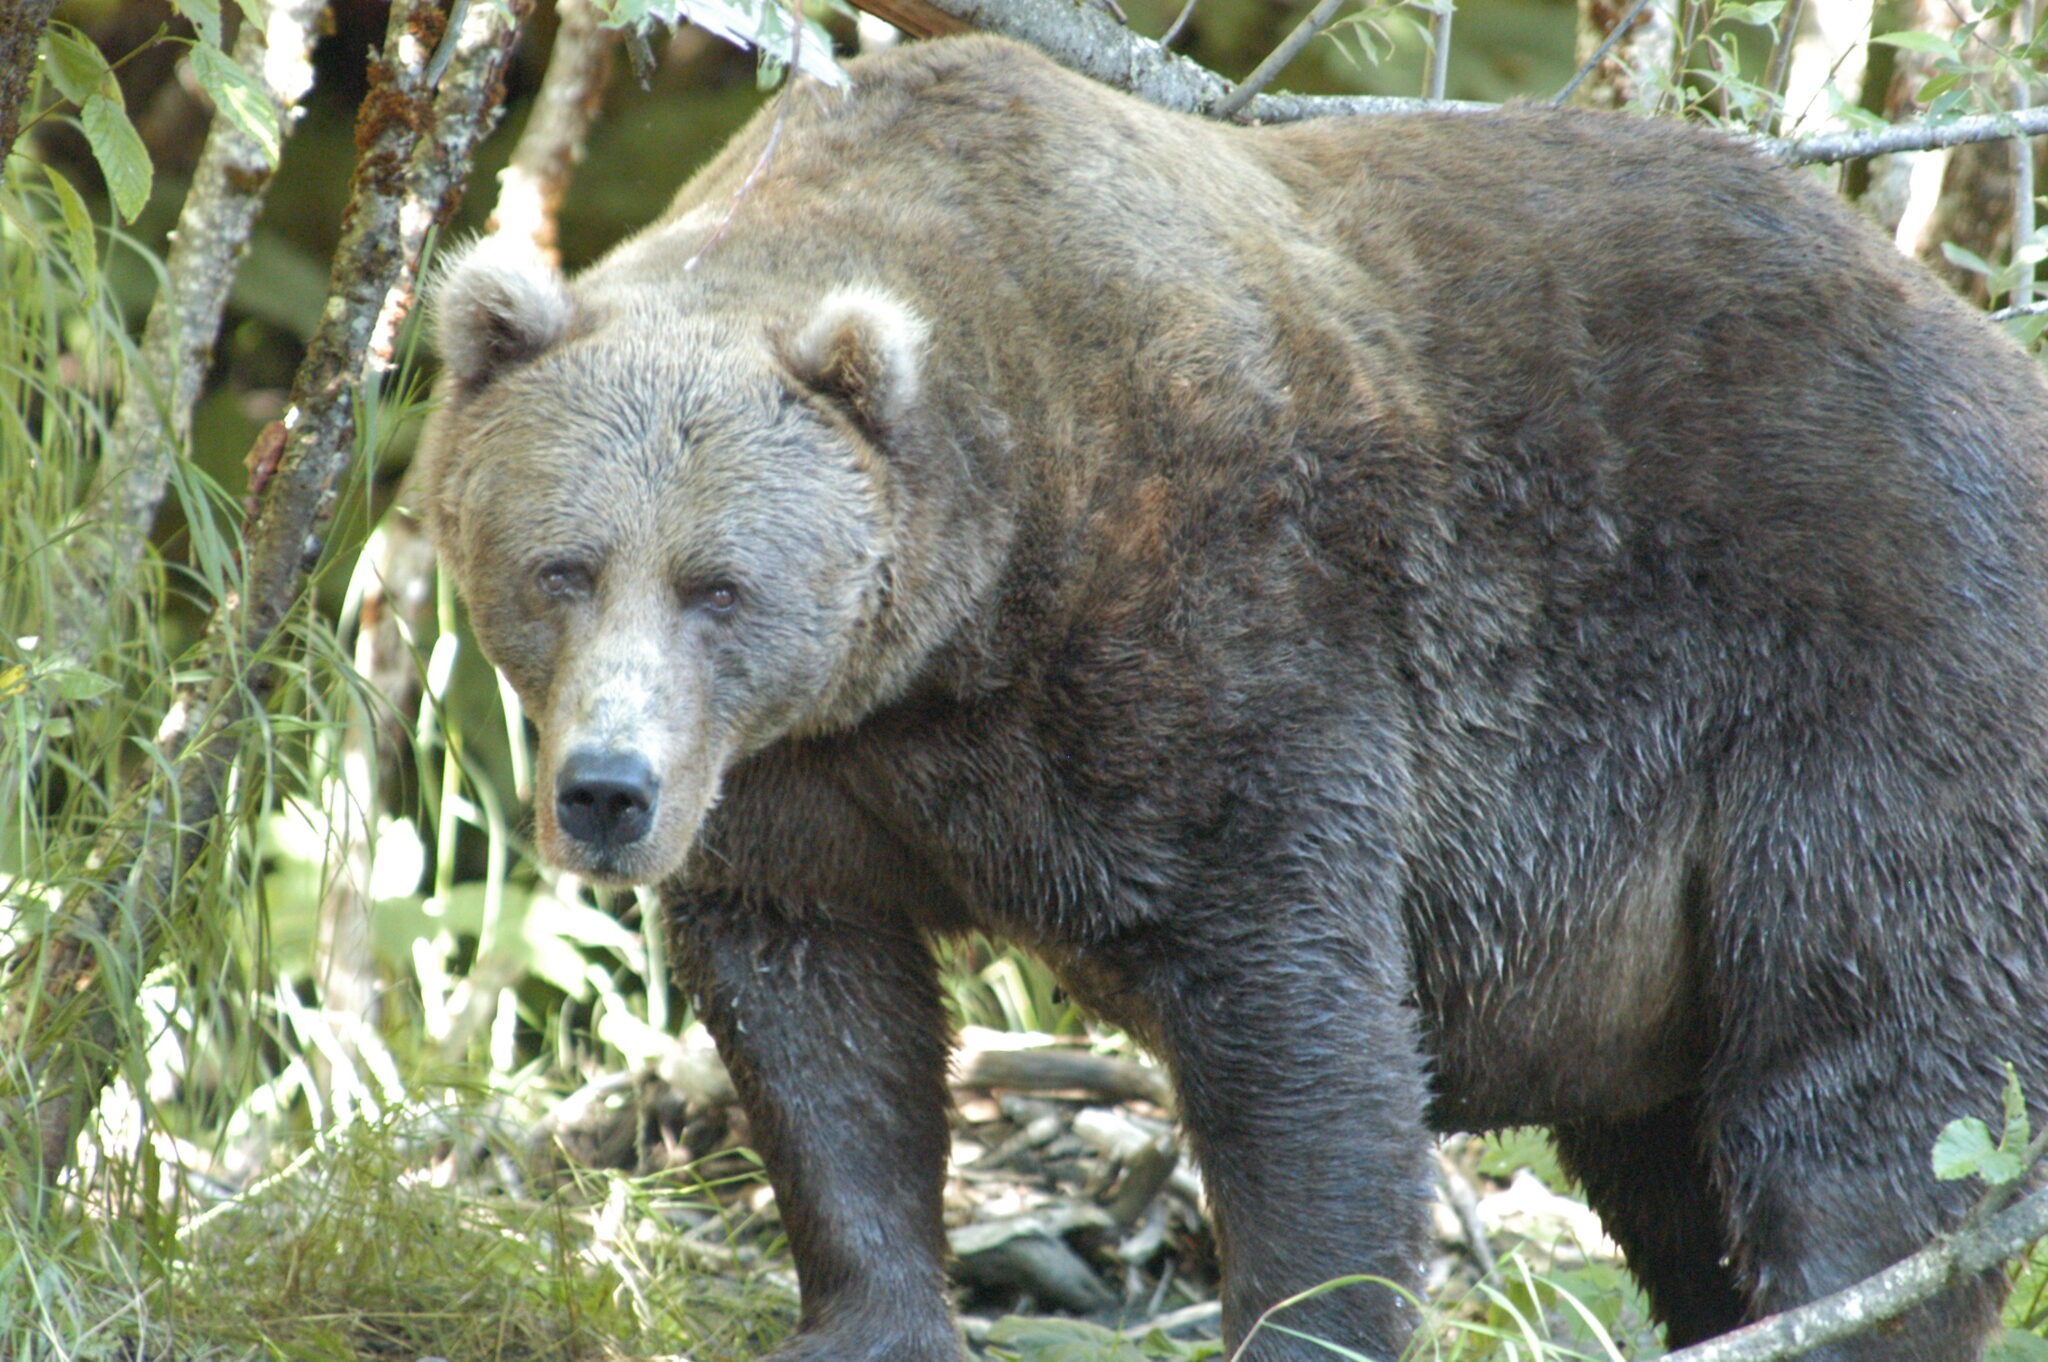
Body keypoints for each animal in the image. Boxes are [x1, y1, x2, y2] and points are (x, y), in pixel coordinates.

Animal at [412, 33, 2048, 1362]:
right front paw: (867, 1313)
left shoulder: (1229, 644)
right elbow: (819, 1026)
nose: (606, 791)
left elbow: (1301, 1025)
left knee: (1864, 1063)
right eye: (562, 566)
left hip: (1865, 665)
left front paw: (1302, 1310)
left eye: (718, 584)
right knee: (1668, 1151)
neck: (964, 625)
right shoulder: (799, 789)